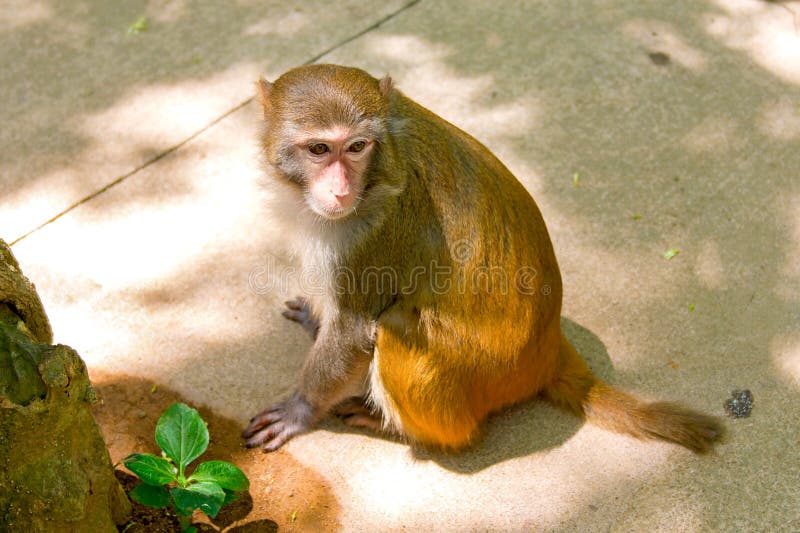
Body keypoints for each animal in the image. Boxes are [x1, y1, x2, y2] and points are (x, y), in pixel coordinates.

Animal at [241, 64, 723, 454]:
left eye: (357, 146)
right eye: (319, 149)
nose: (341, 191)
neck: (381, 163)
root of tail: (549, 349)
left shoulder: (373, 230)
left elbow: (353, 330)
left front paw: (300, 410)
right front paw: (313, 320)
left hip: (479, 382)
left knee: (395, 328)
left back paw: (404, 429)